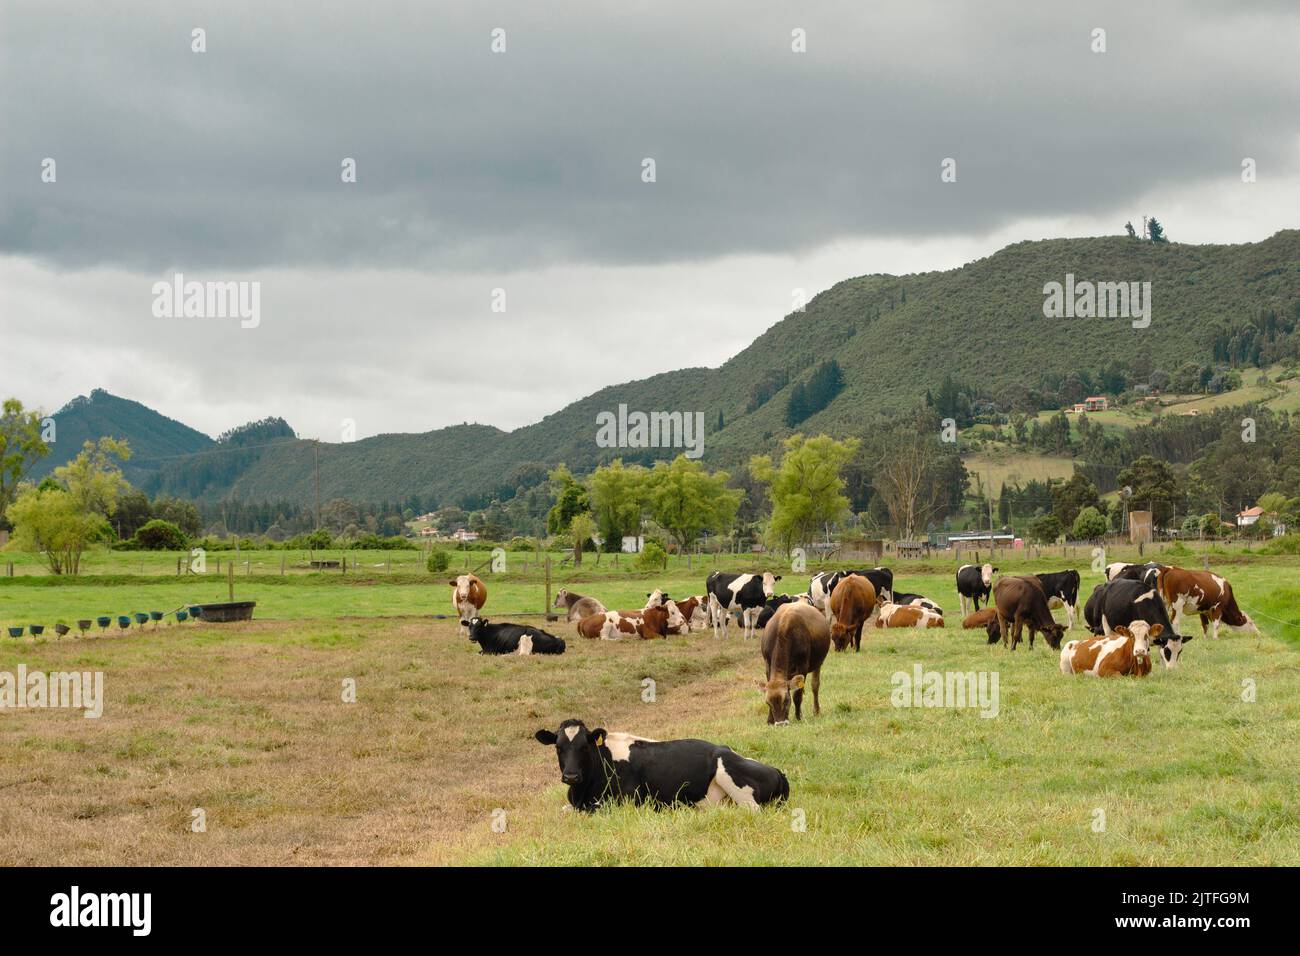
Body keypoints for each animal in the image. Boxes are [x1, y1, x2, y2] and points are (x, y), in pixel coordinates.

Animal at [535, 719, 789, 812]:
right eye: (558, 747)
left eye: (584, 747)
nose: (571, 776)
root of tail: (777, 770)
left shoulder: (629, 801)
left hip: (729, 772)